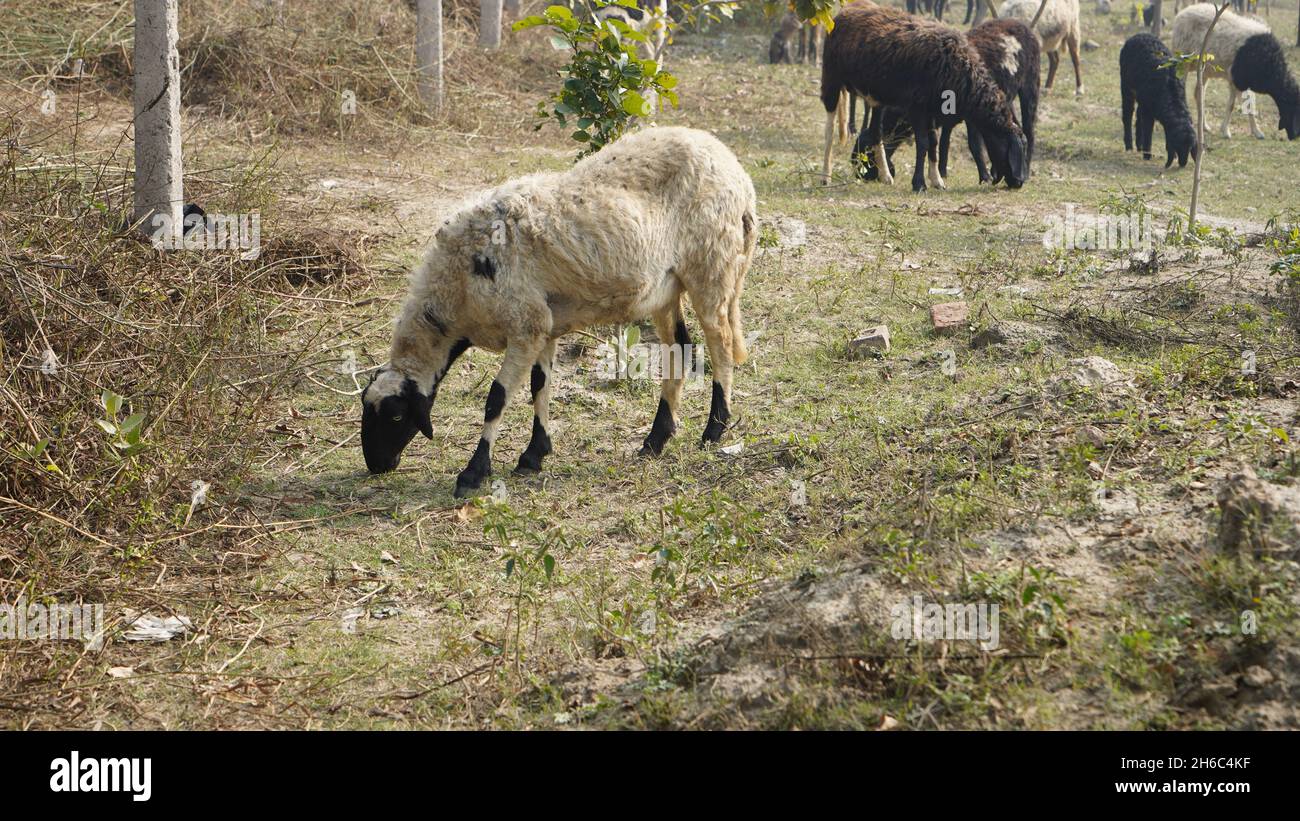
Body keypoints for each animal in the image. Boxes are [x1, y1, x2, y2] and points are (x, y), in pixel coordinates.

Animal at [360, 127, 757, 497]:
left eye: (396, 415)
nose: (377, 465)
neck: (456, 290)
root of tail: (736, 171)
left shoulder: (525, 323)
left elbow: (496, 398)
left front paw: (473, 473)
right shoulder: (544, 324)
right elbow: (540, 385)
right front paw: (533, 455)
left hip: (713, 265)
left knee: (720, 344)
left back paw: (714, 430)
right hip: (666, 287)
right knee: (679, 348)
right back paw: (654, 441)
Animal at [819, 2, 1029, 191]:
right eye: (1009, 146)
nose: (1018, 182)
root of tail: (843, 13)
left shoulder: (932, 110)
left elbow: (933, 143)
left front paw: (937, 181)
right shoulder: (917, 108)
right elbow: (923, 143)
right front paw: (919, 183)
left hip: (876, 97)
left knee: (875, 132)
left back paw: (886, 176)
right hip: (831, 78)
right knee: (829, 129)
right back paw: (825, 177)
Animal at [1120, 33, 1199, 167]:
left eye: (1190, 148)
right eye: (1178, 145)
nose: (1183, 163)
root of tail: (1140, 34)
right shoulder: (1148, 113)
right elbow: (1148, 132)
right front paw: (1147, 155)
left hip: (1143, 98)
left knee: (1138, 115)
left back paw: (1139, 145)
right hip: (1126, 86)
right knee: (1127, 114)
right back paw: (1129, 145)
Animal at [1170, 4, 1300, 141]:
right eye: (1296, 109)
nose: (1295, 136)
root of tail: (1184, 11)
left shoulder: (1237, 80)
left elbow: (1233, 105)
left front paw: (1225, 130)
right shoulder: (1237, 78)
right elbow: (1247, 105)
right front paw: (1257, 132)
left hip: (1203, 69)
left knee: (1199, 94)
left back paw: (1204, 126)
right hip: (1182, 61)